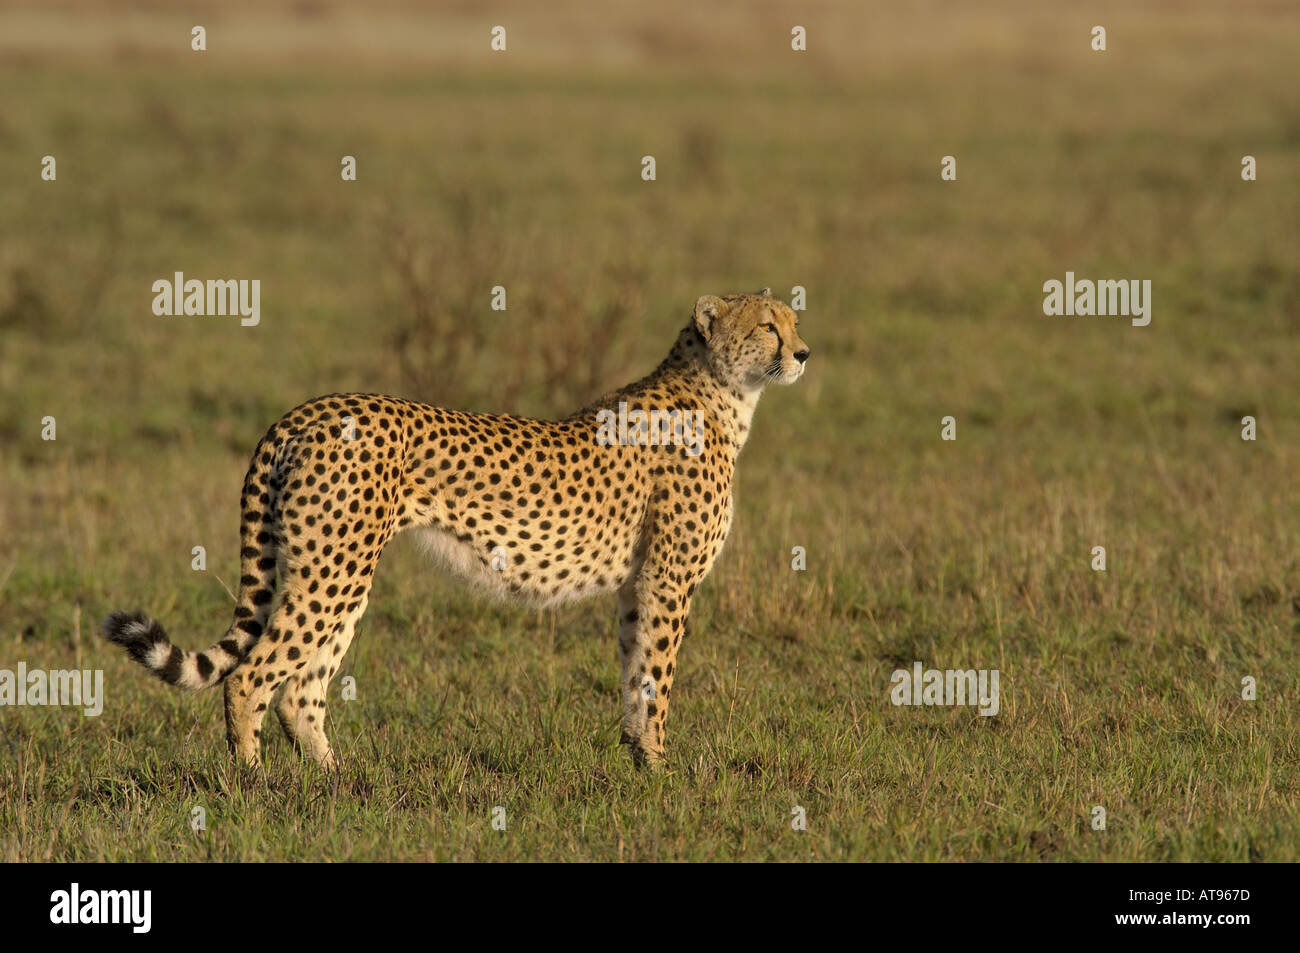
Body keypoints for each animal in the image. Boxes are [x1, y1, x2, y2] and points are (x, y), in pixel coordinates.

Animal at [103, 288, 810, 770]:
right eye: (768, 326)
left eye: (795, 321)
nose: (804, 353)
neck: (721, 393)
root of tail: (308, 409)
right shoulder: (668, 581)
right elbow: (657, 678)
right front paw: (661, 772)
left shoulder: (639, 586)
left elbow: (637, 674)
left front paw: (638, 762)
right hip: (335, 570)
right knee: (252, 676)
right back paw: (252, 782)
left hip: (338, 575)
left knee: (300, 689)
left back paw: (336, 781)